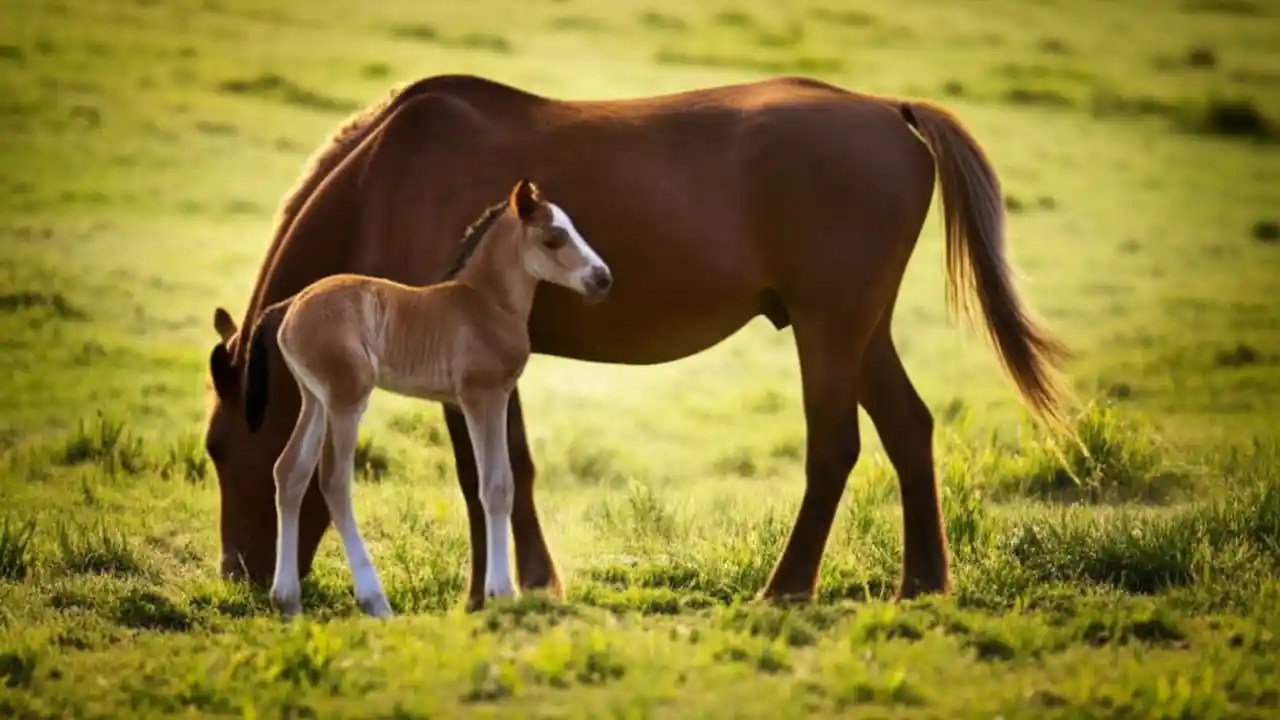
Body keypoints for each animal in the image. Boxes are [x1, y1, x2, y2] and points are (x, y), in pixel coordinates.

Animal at [240, 179, 611, 617]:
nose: (602, 278)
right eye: (553, 238)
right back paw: (375, 600)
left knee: (289, 472)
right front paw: (501, 591)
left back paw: (287, 600)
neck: (488, 303)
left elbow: (500, 481)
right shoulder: (479, 396)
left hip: (315, 399)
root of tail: (289, 305)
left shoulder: (496, 396)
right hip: (347, 397)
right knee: (333, 480)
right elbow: (495, 486)